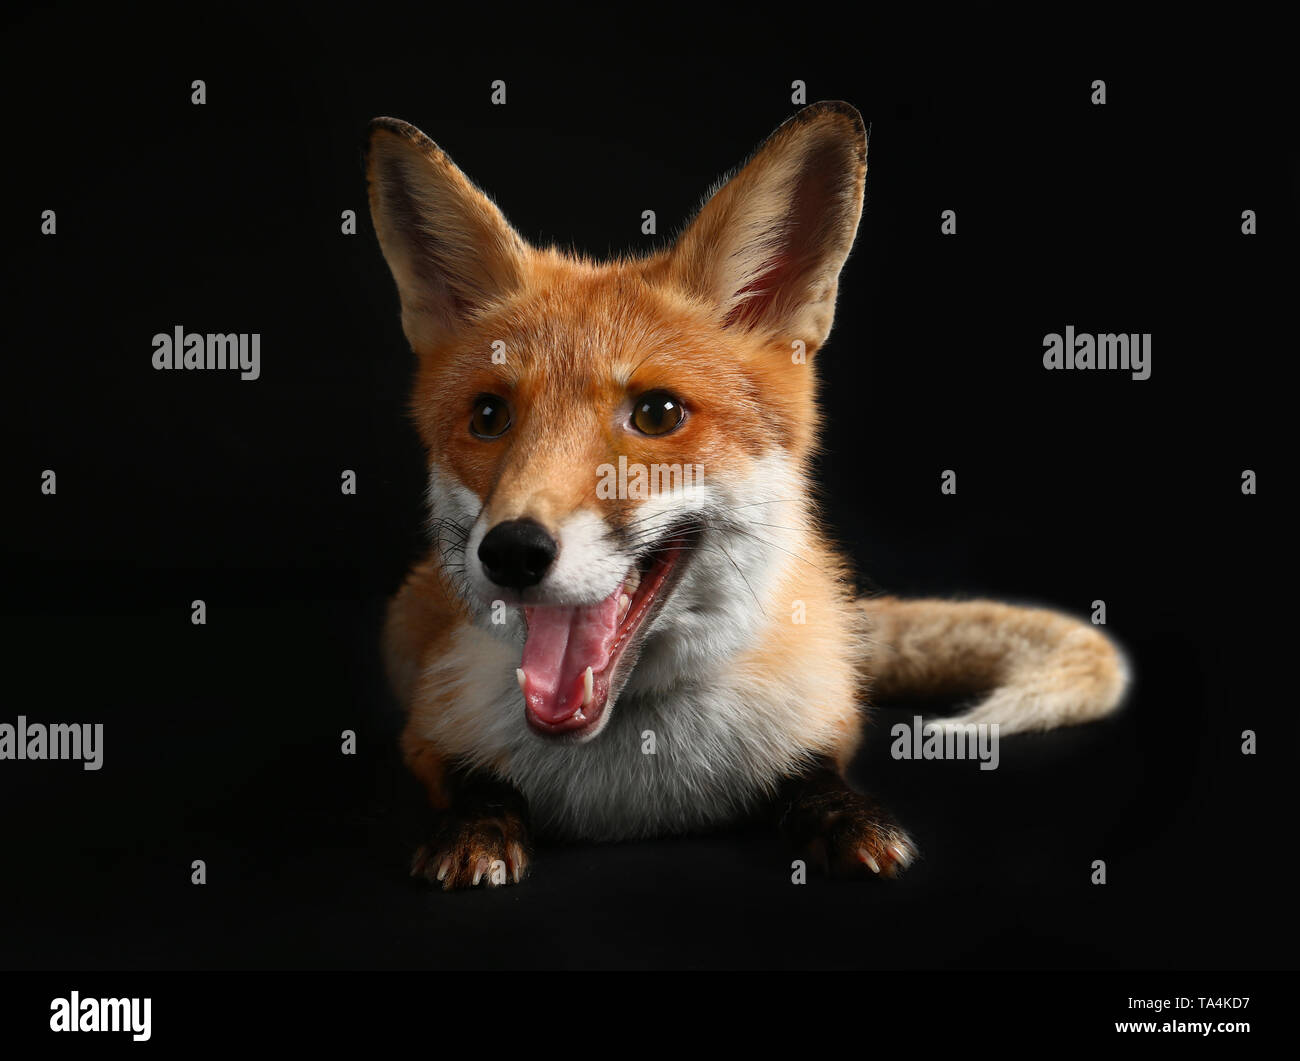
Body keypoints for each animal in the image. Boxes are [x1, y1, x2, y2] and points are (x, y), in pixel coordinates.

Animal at [365, 101, 1129, 889]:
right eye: (490, 417)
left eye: (658, 414)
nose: (513, 551)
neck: (636, 790)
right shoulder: (426, 724)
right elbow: (472, 781)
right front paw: (477, 827)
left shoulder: (827, 715)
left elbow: (815, 772)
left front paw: (845, 817)